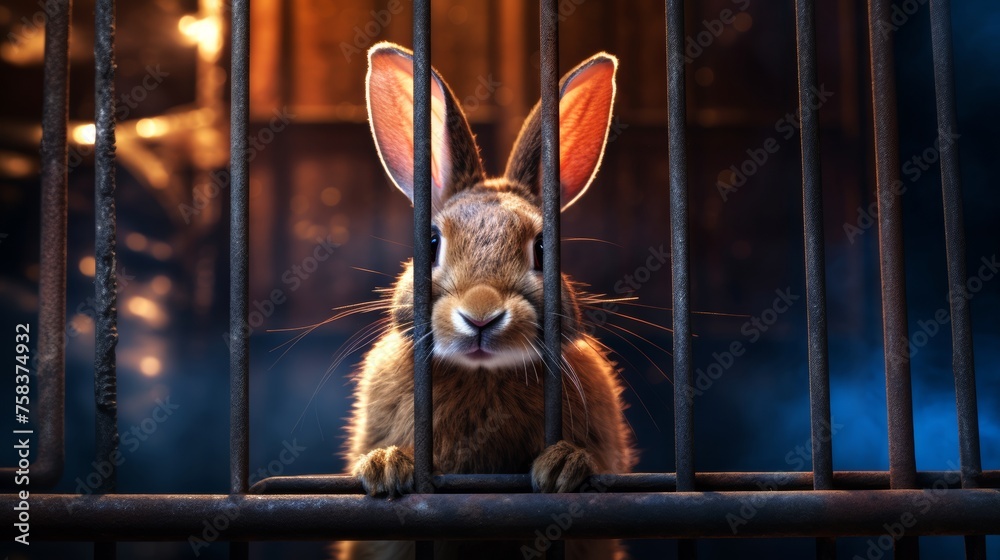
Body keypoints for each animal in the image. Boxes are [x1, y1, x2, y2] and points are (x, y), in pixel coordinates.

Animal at [336, 41, 635, 560]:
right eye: (431, 242)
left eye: (543, 249)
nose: (480, 316)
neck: (483, 374)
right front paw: (388, 467)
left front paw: (564, 468)